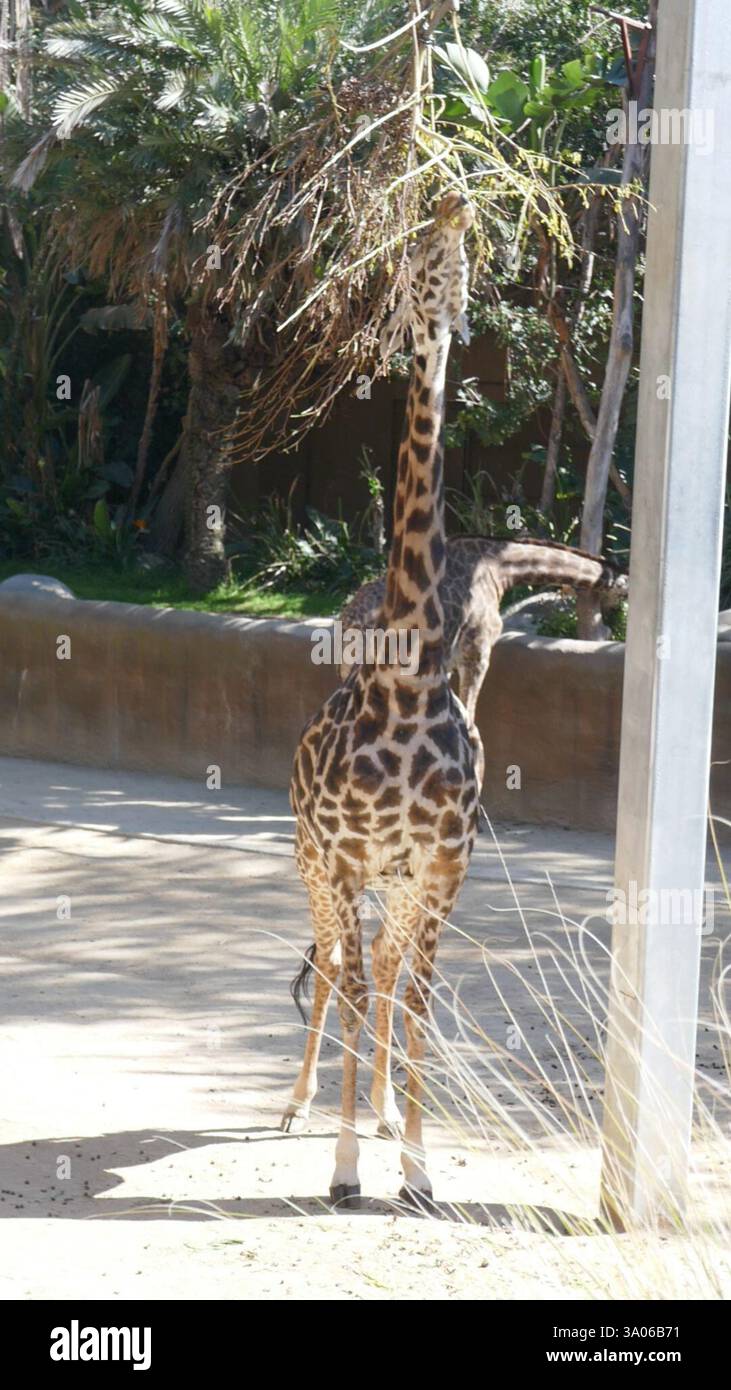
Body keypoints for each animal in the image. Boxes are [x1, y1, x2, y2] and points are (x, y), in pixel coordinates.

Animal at [340, 536, 628, 724]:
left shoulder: (448, 664)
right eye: (623, 589)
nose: (615, 620)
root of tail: (350, 618)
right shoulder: (477, 652)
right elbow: (470, 720)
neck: (498, 568)